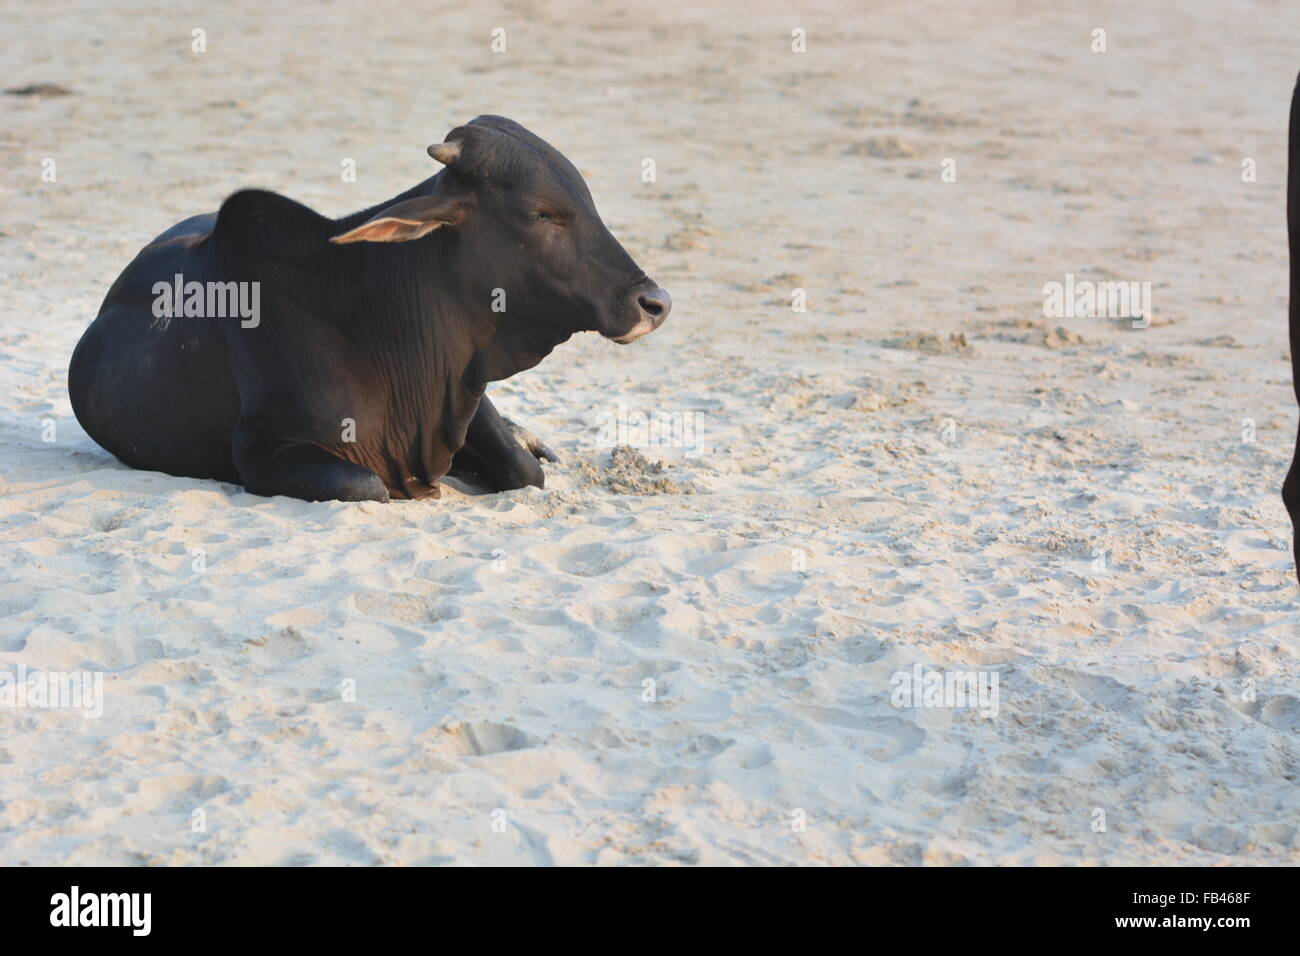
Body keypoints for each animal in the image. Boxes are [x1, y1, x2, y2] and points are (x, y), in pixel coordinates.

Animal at [68, 115, 671, 503]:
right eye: (540, 213)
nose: (655, 302)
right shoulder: (264, 450)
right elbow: (366, 485)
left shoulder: (464, 390)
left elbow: (523, 471)